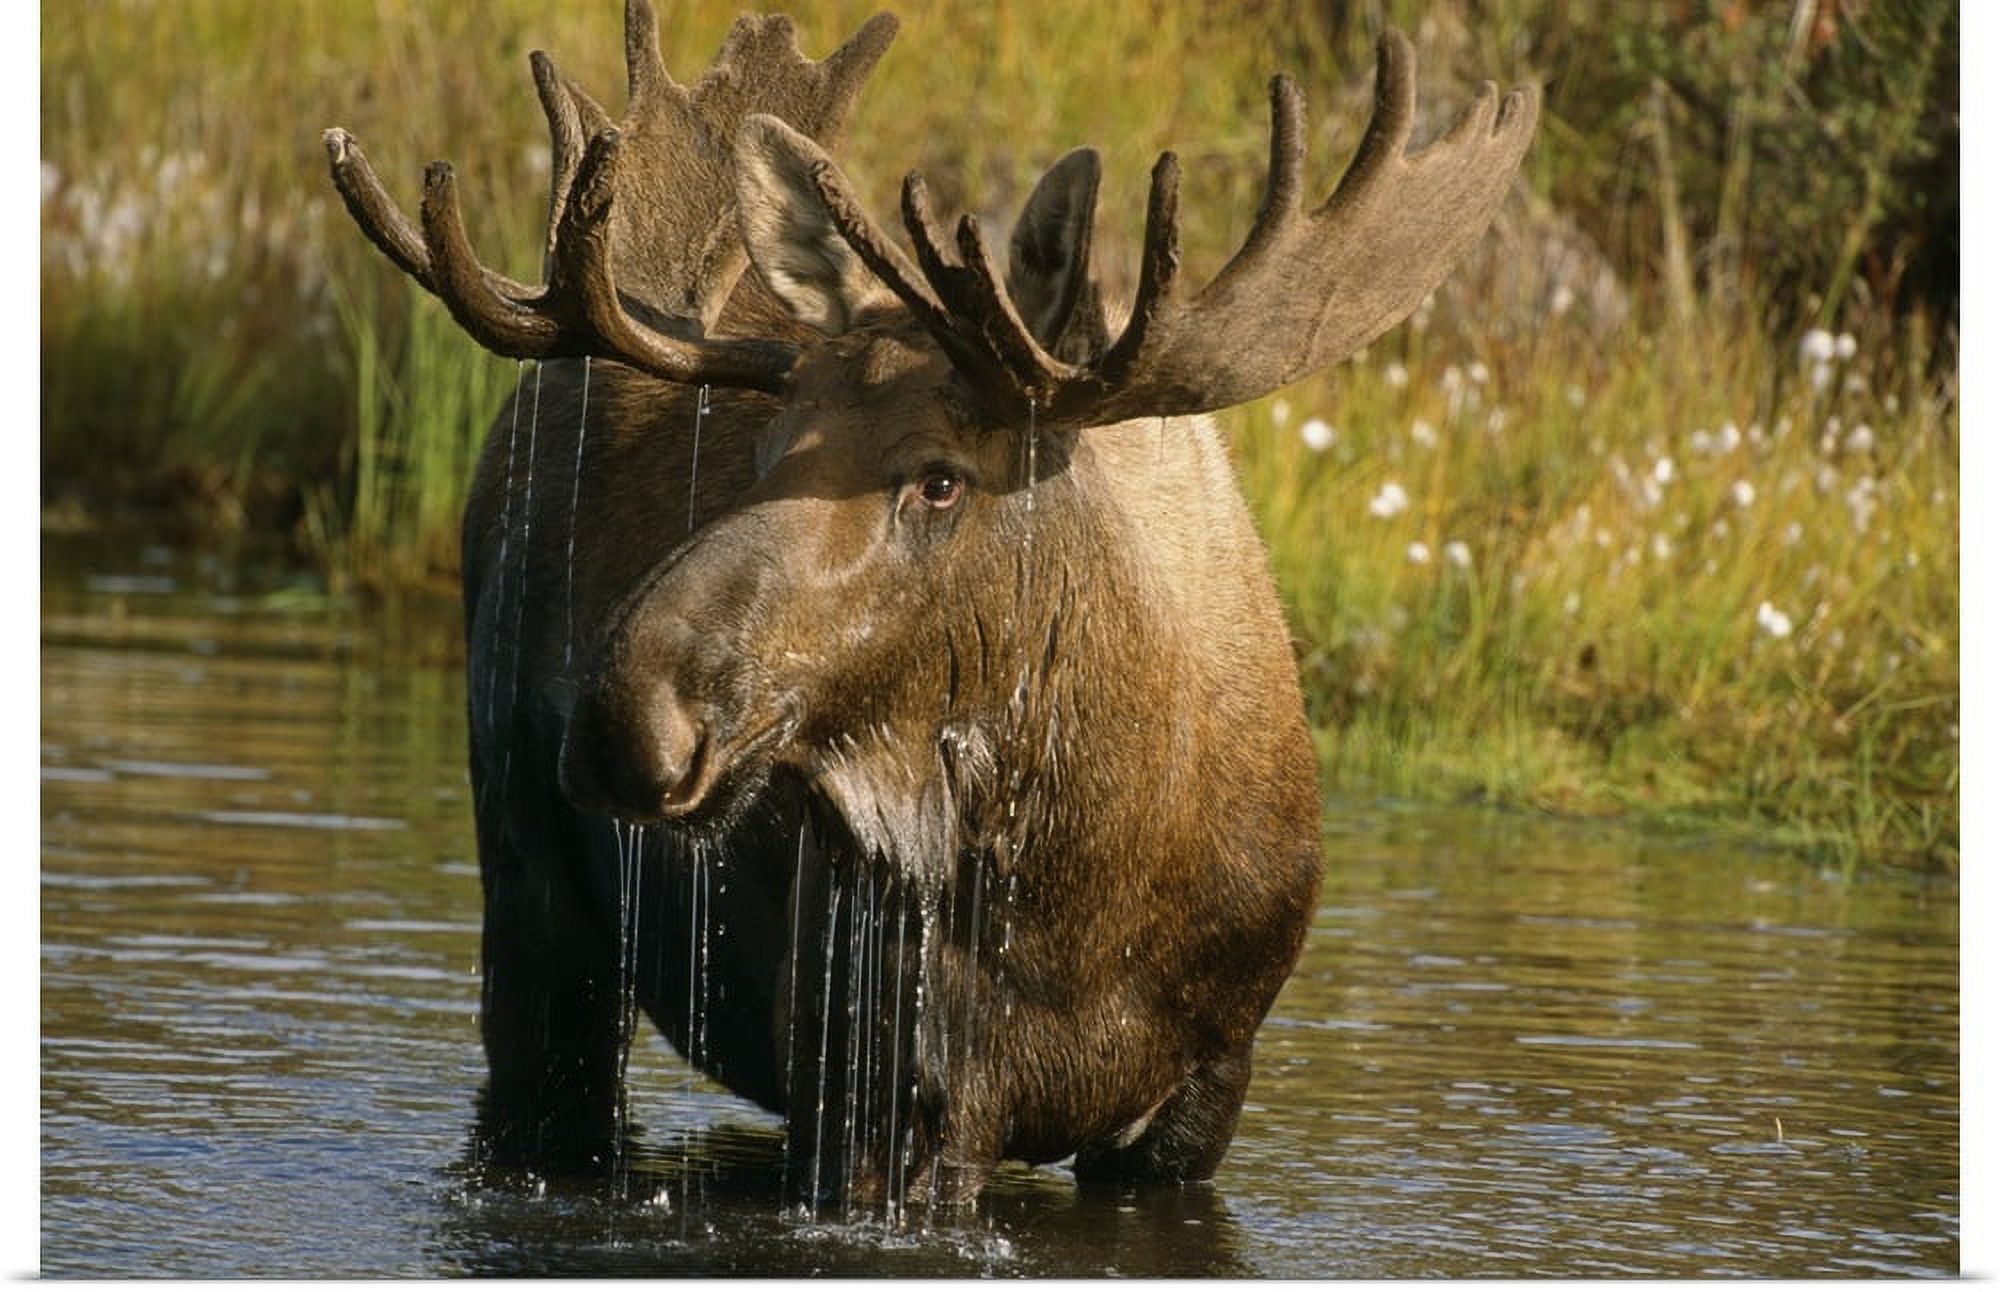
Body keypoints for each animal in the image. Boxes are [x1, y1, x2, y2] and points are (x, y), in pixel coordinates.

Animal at [324, 1, 1536, 1209]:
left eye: (941, 478)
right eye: (761, 445)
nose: (628, 717)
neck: (1087, 896)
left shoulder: (1203, 1089)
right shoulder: (873, 1069)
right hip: (533, 892)